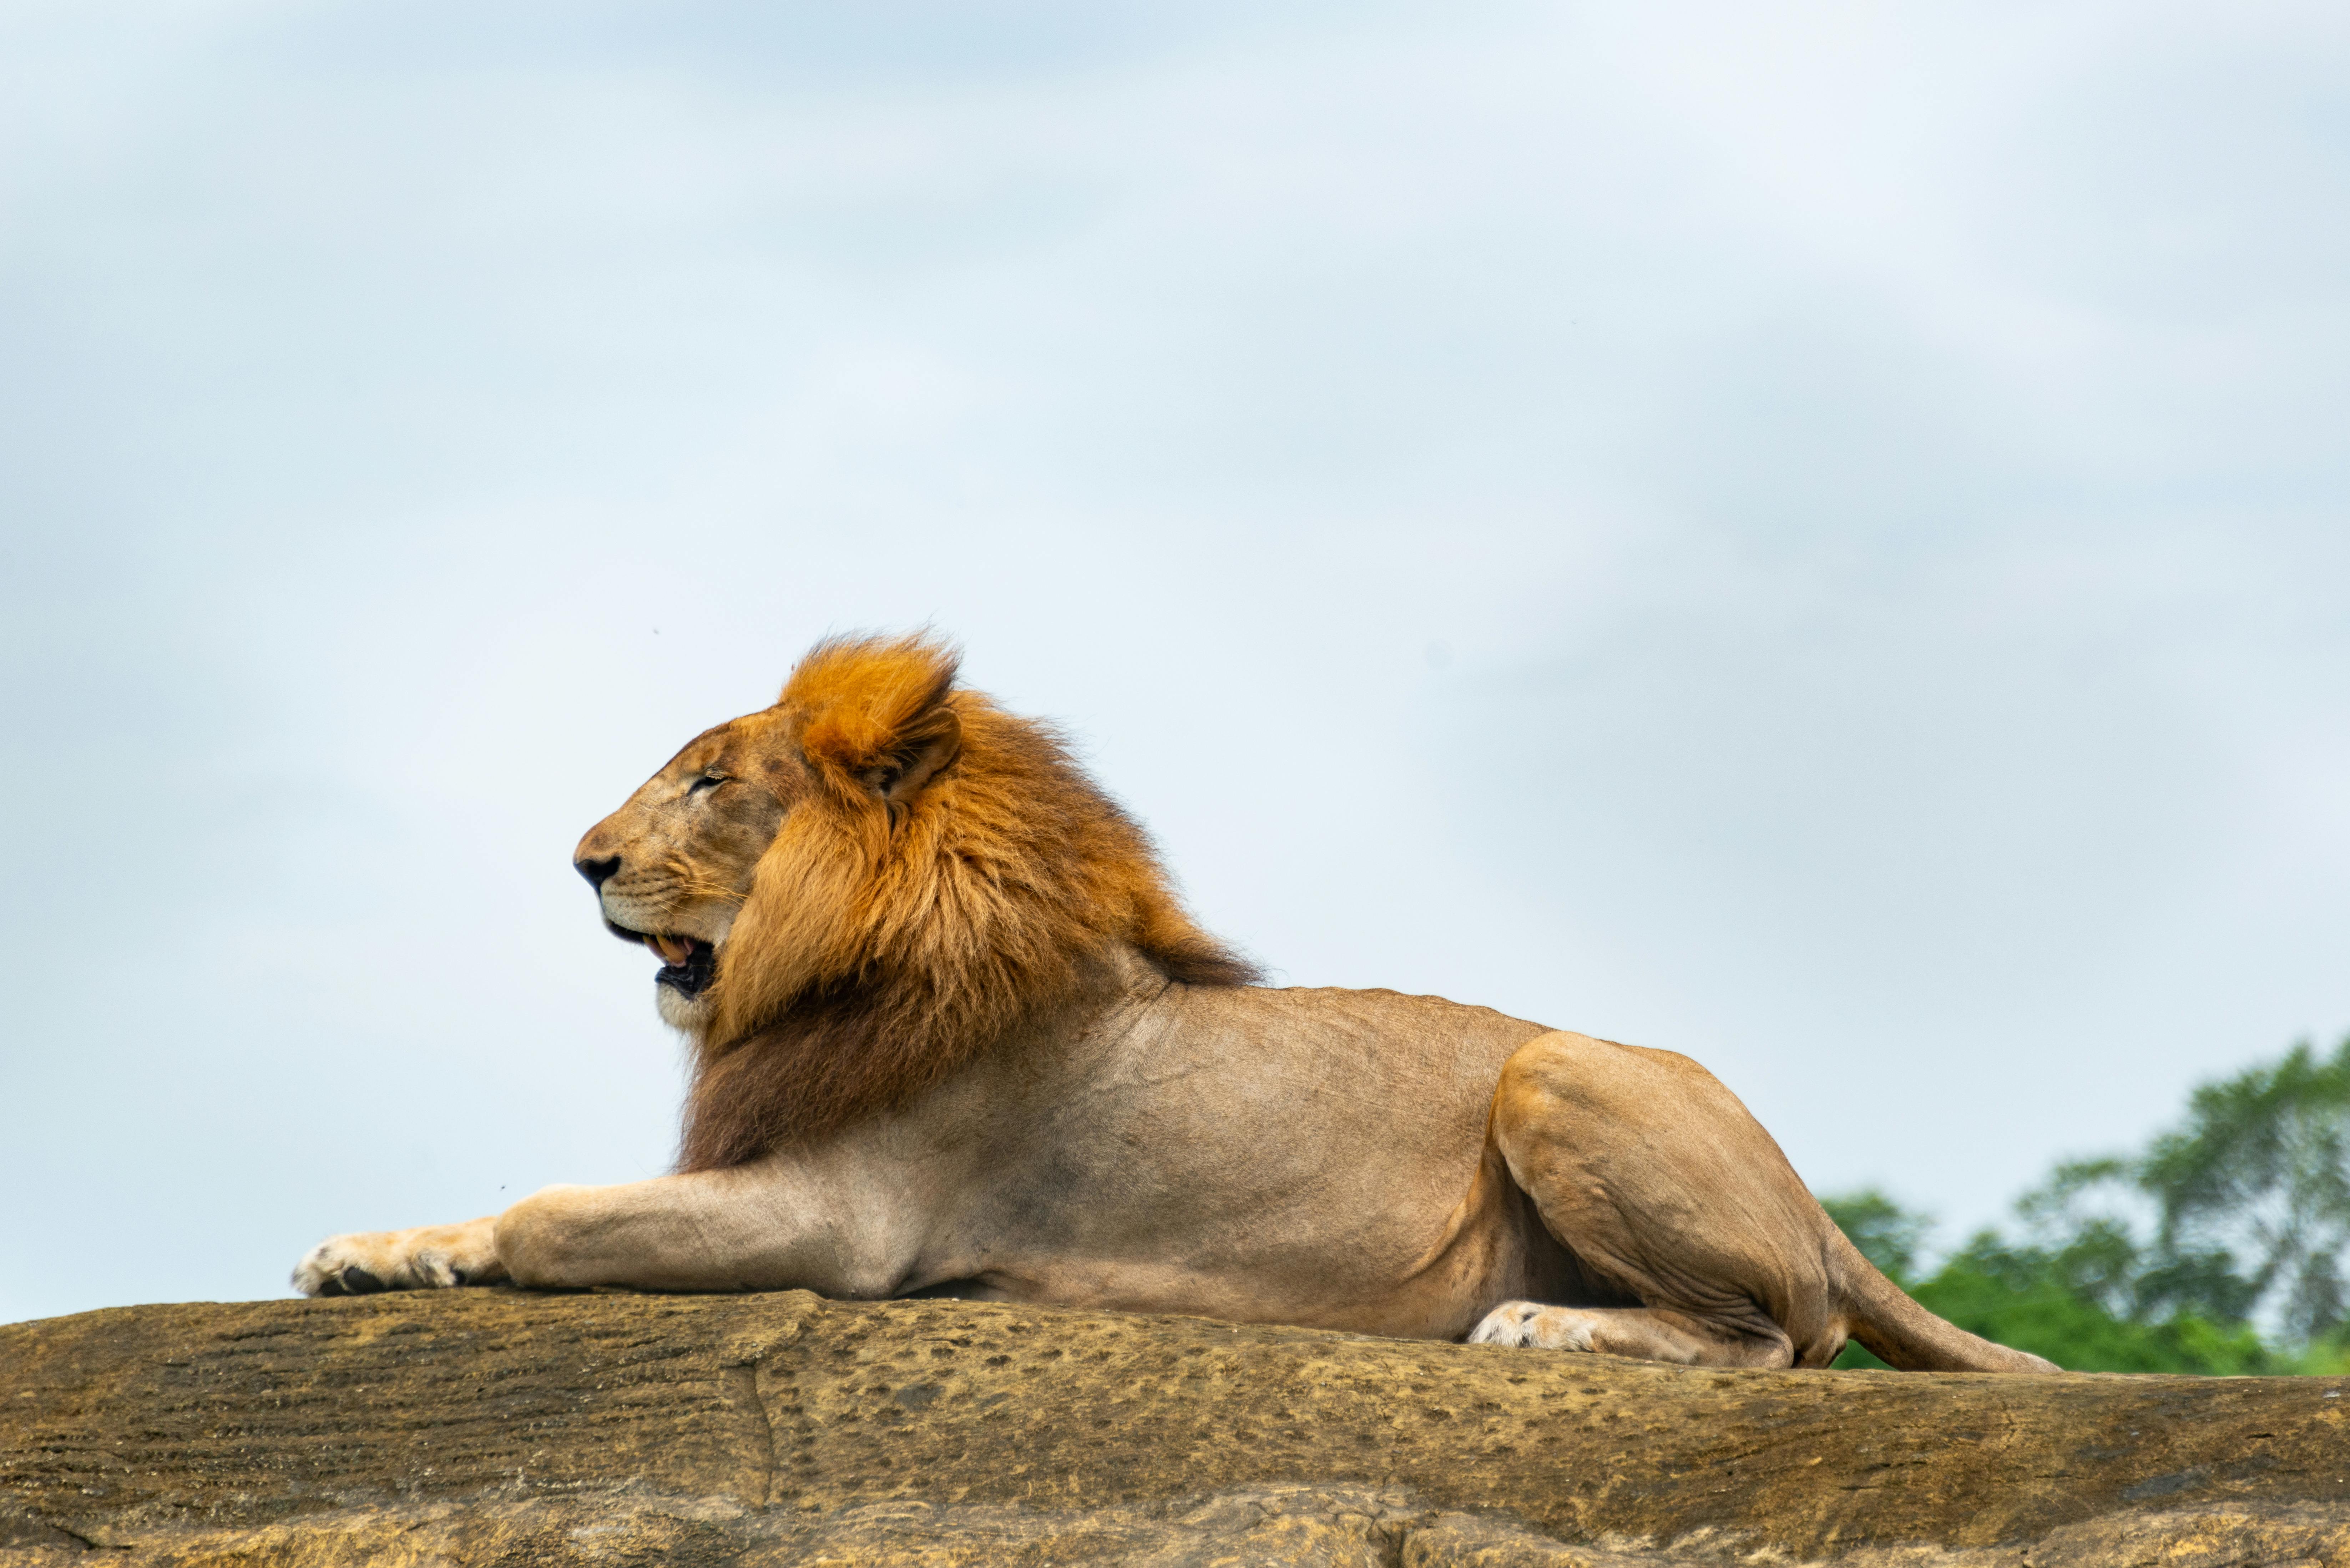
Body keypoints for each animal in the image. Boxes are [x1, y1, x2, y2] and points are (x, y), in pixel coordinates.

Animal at [293, 632, 2054, 1372]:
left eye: (711, 783)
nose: (581, 861)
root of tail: (1812, 1200)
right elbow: (507, 1207)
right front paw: (364, 1253)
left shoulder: (845, 1219)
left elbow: (554, 1216)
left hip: (1554, 1073)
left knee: (1776, 1341)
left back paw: (1546, 1324)